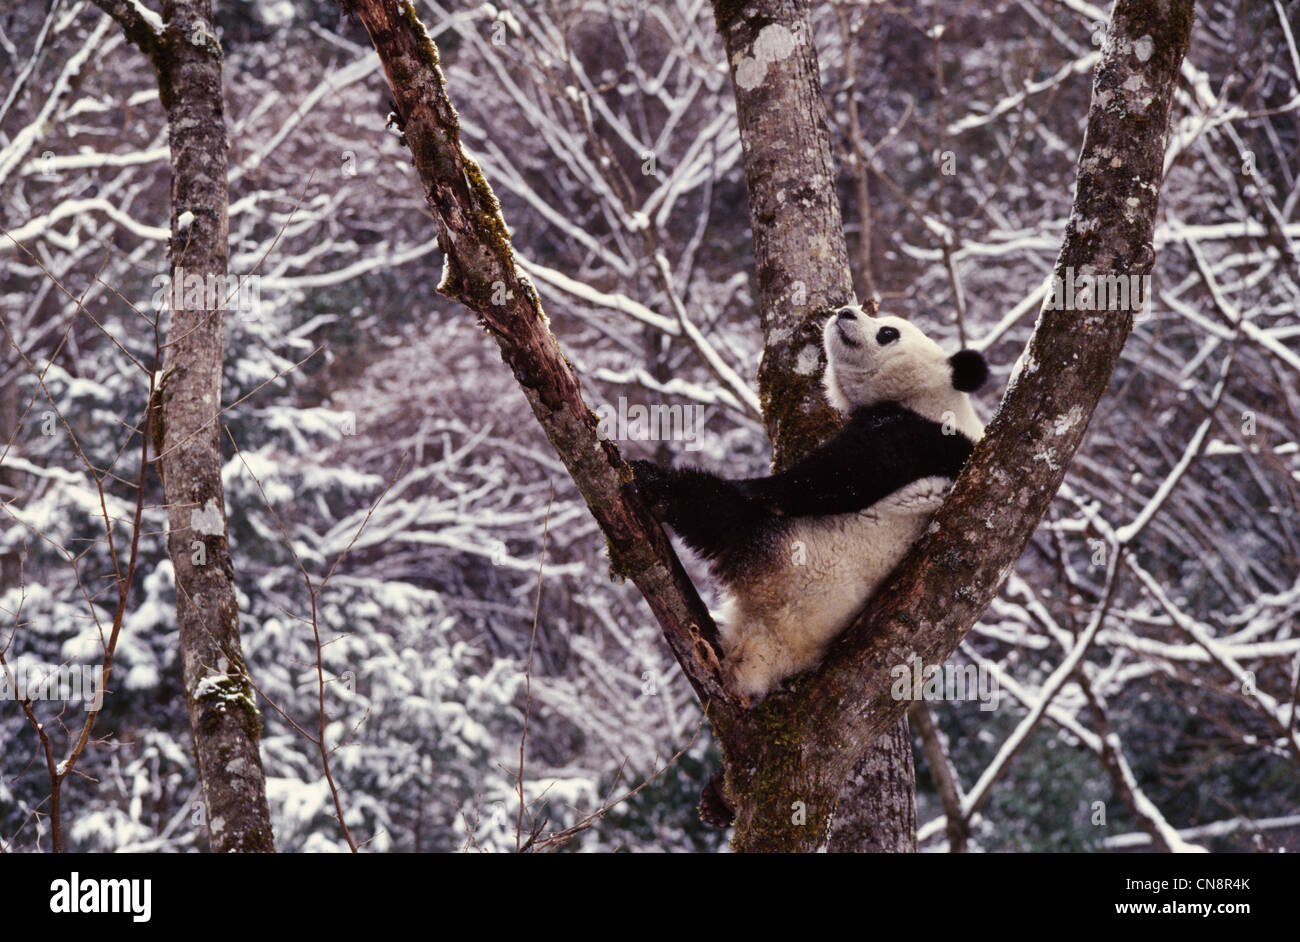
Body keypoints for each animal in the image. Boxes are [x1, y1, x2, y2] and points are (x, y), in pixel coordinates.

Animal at [631, 305, 989, 701]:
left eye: (888, 333)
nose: (845, 312)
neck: (935, 396)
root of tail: (766, 650)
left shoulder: (914, 434)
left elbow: (831, 479)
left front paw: (754, 488)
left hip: (794, 563)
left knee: (720, 514)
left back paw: (656, 485)